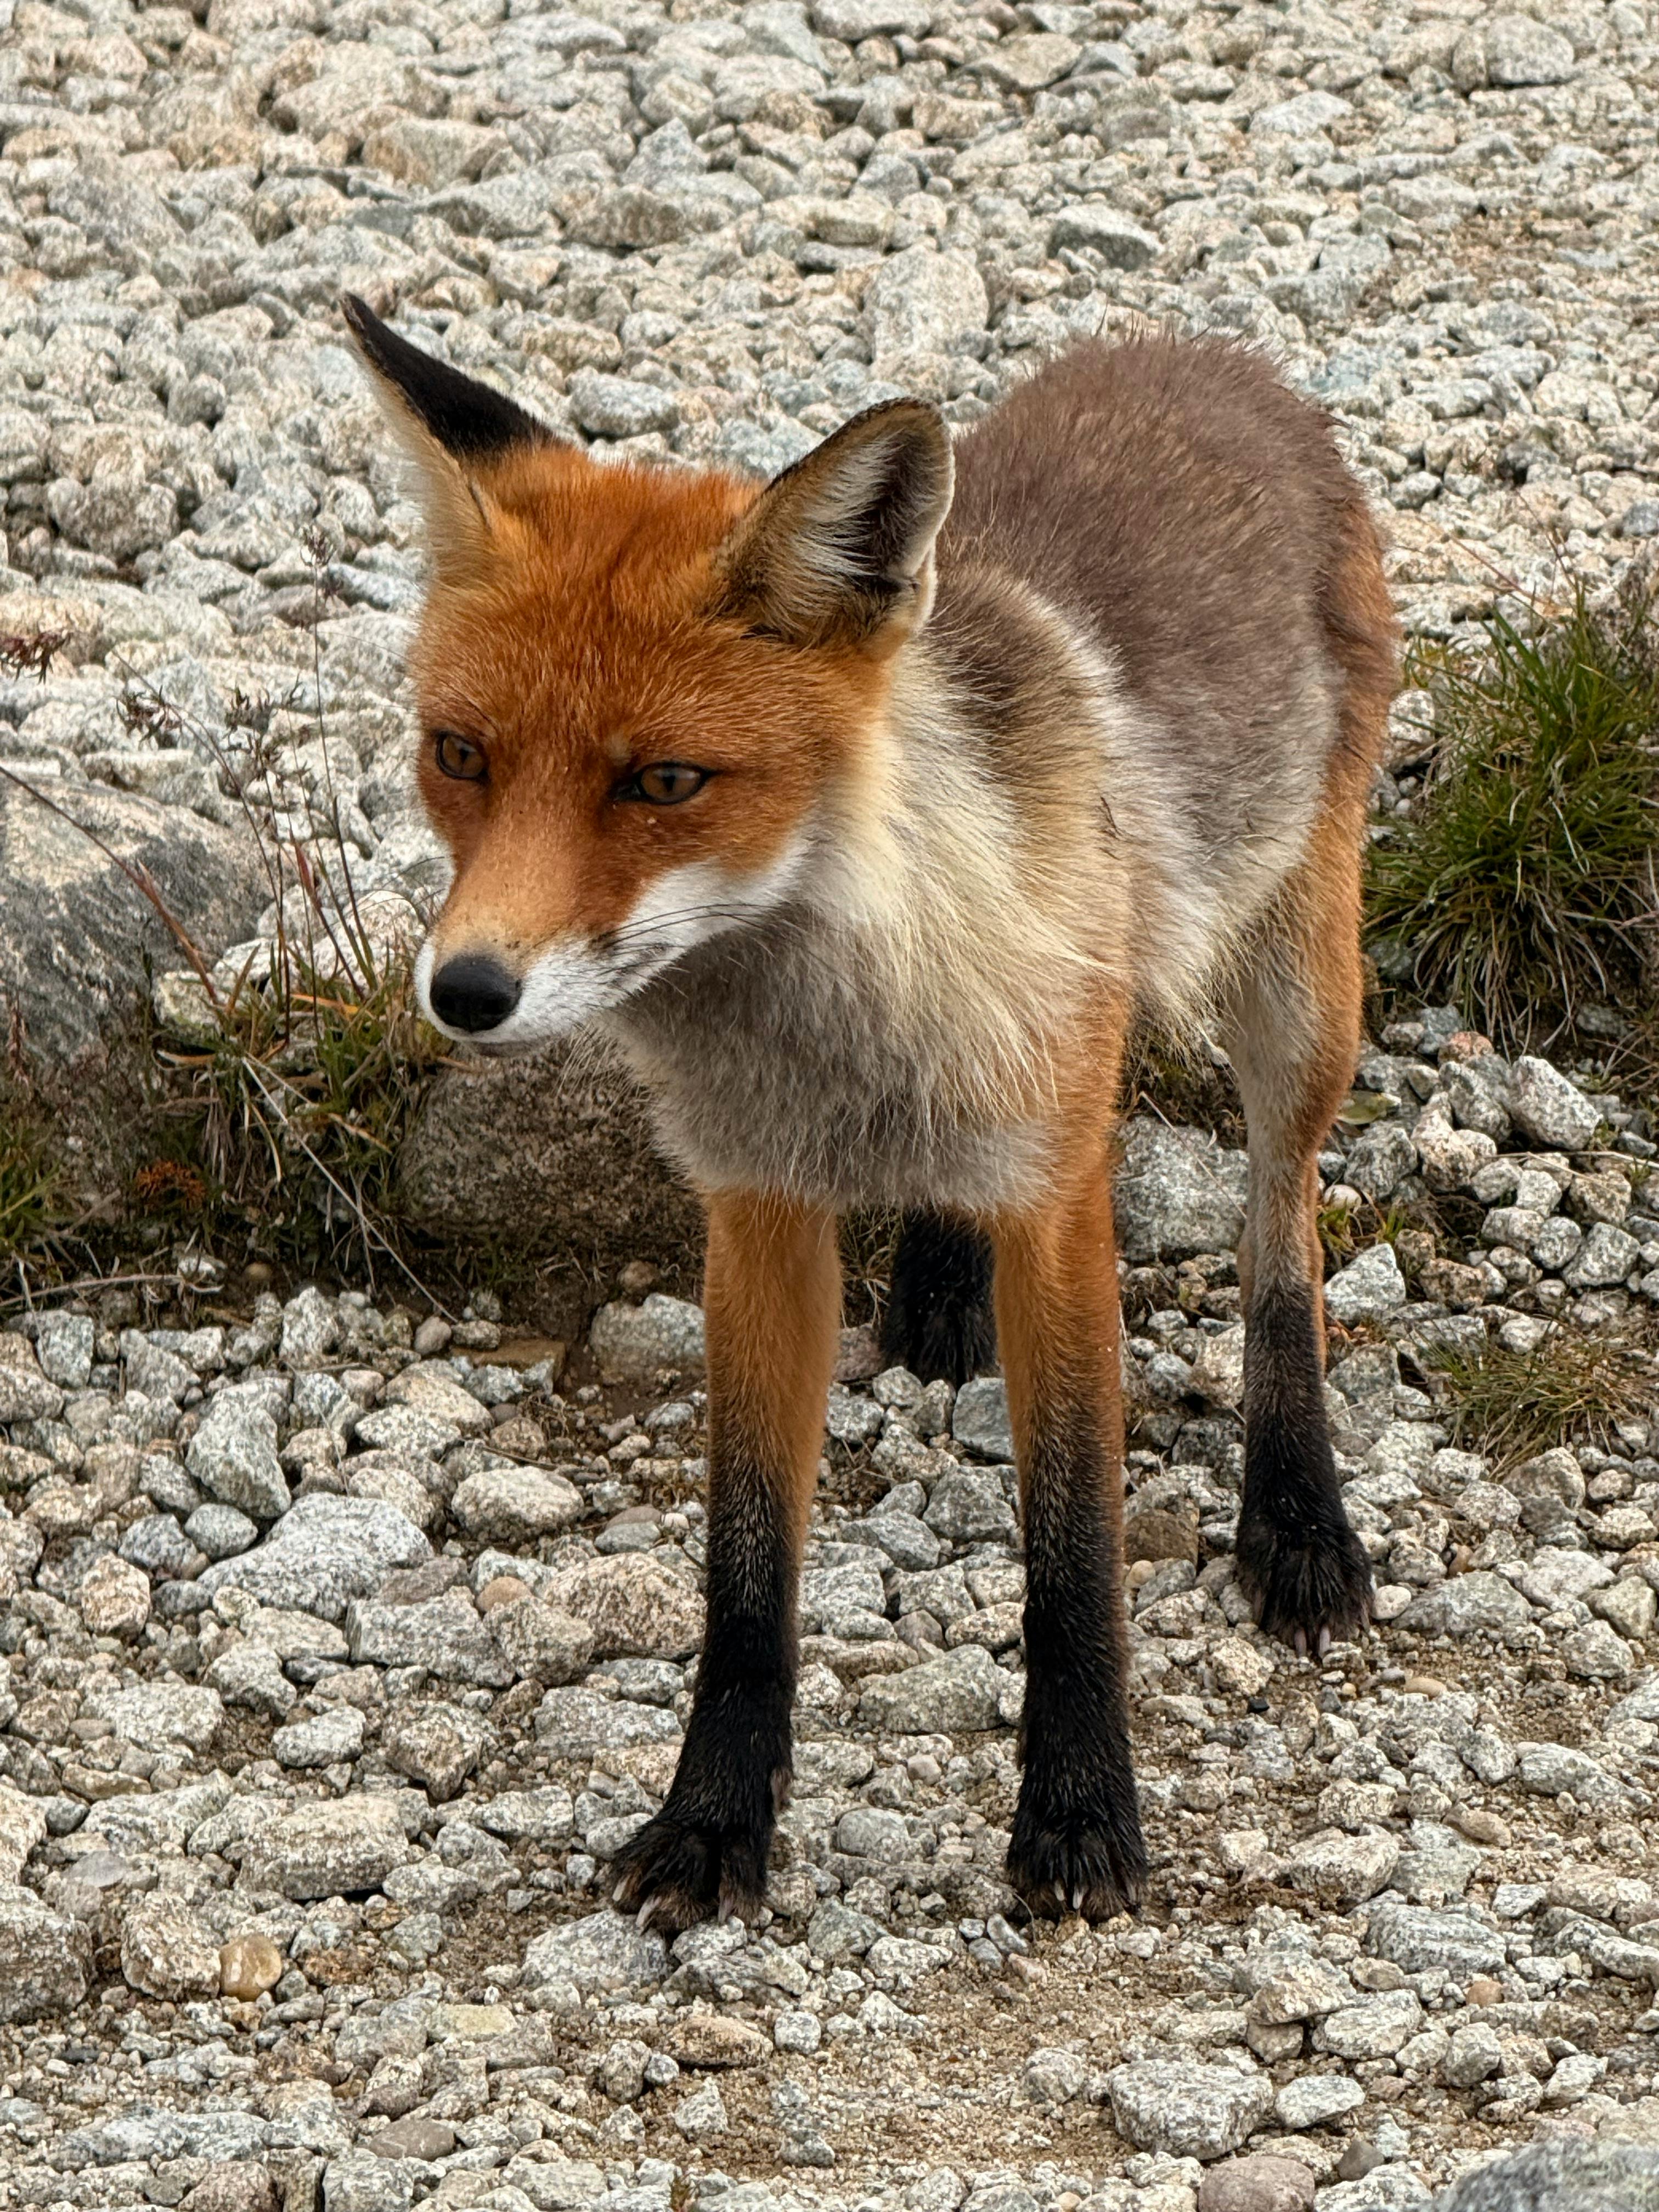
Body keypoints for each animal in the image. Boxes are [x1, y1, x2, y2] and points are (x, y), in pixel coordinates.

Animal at [344, 290, 1398, 1932]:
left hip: (1300, 996)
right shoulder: (757, 1211)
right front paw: (714, 1820)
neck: (841, 1044)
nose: (466, 991)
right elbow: (744, 1569)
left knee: (1280, 1244)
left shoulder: (1057, 1205)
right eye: (461, 757)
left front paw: (1080, 1812)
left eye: (664, 781)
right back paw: (939, 1293)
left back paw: (1295, 1512)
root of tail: (1203, 352)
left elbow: (1072, 1557)